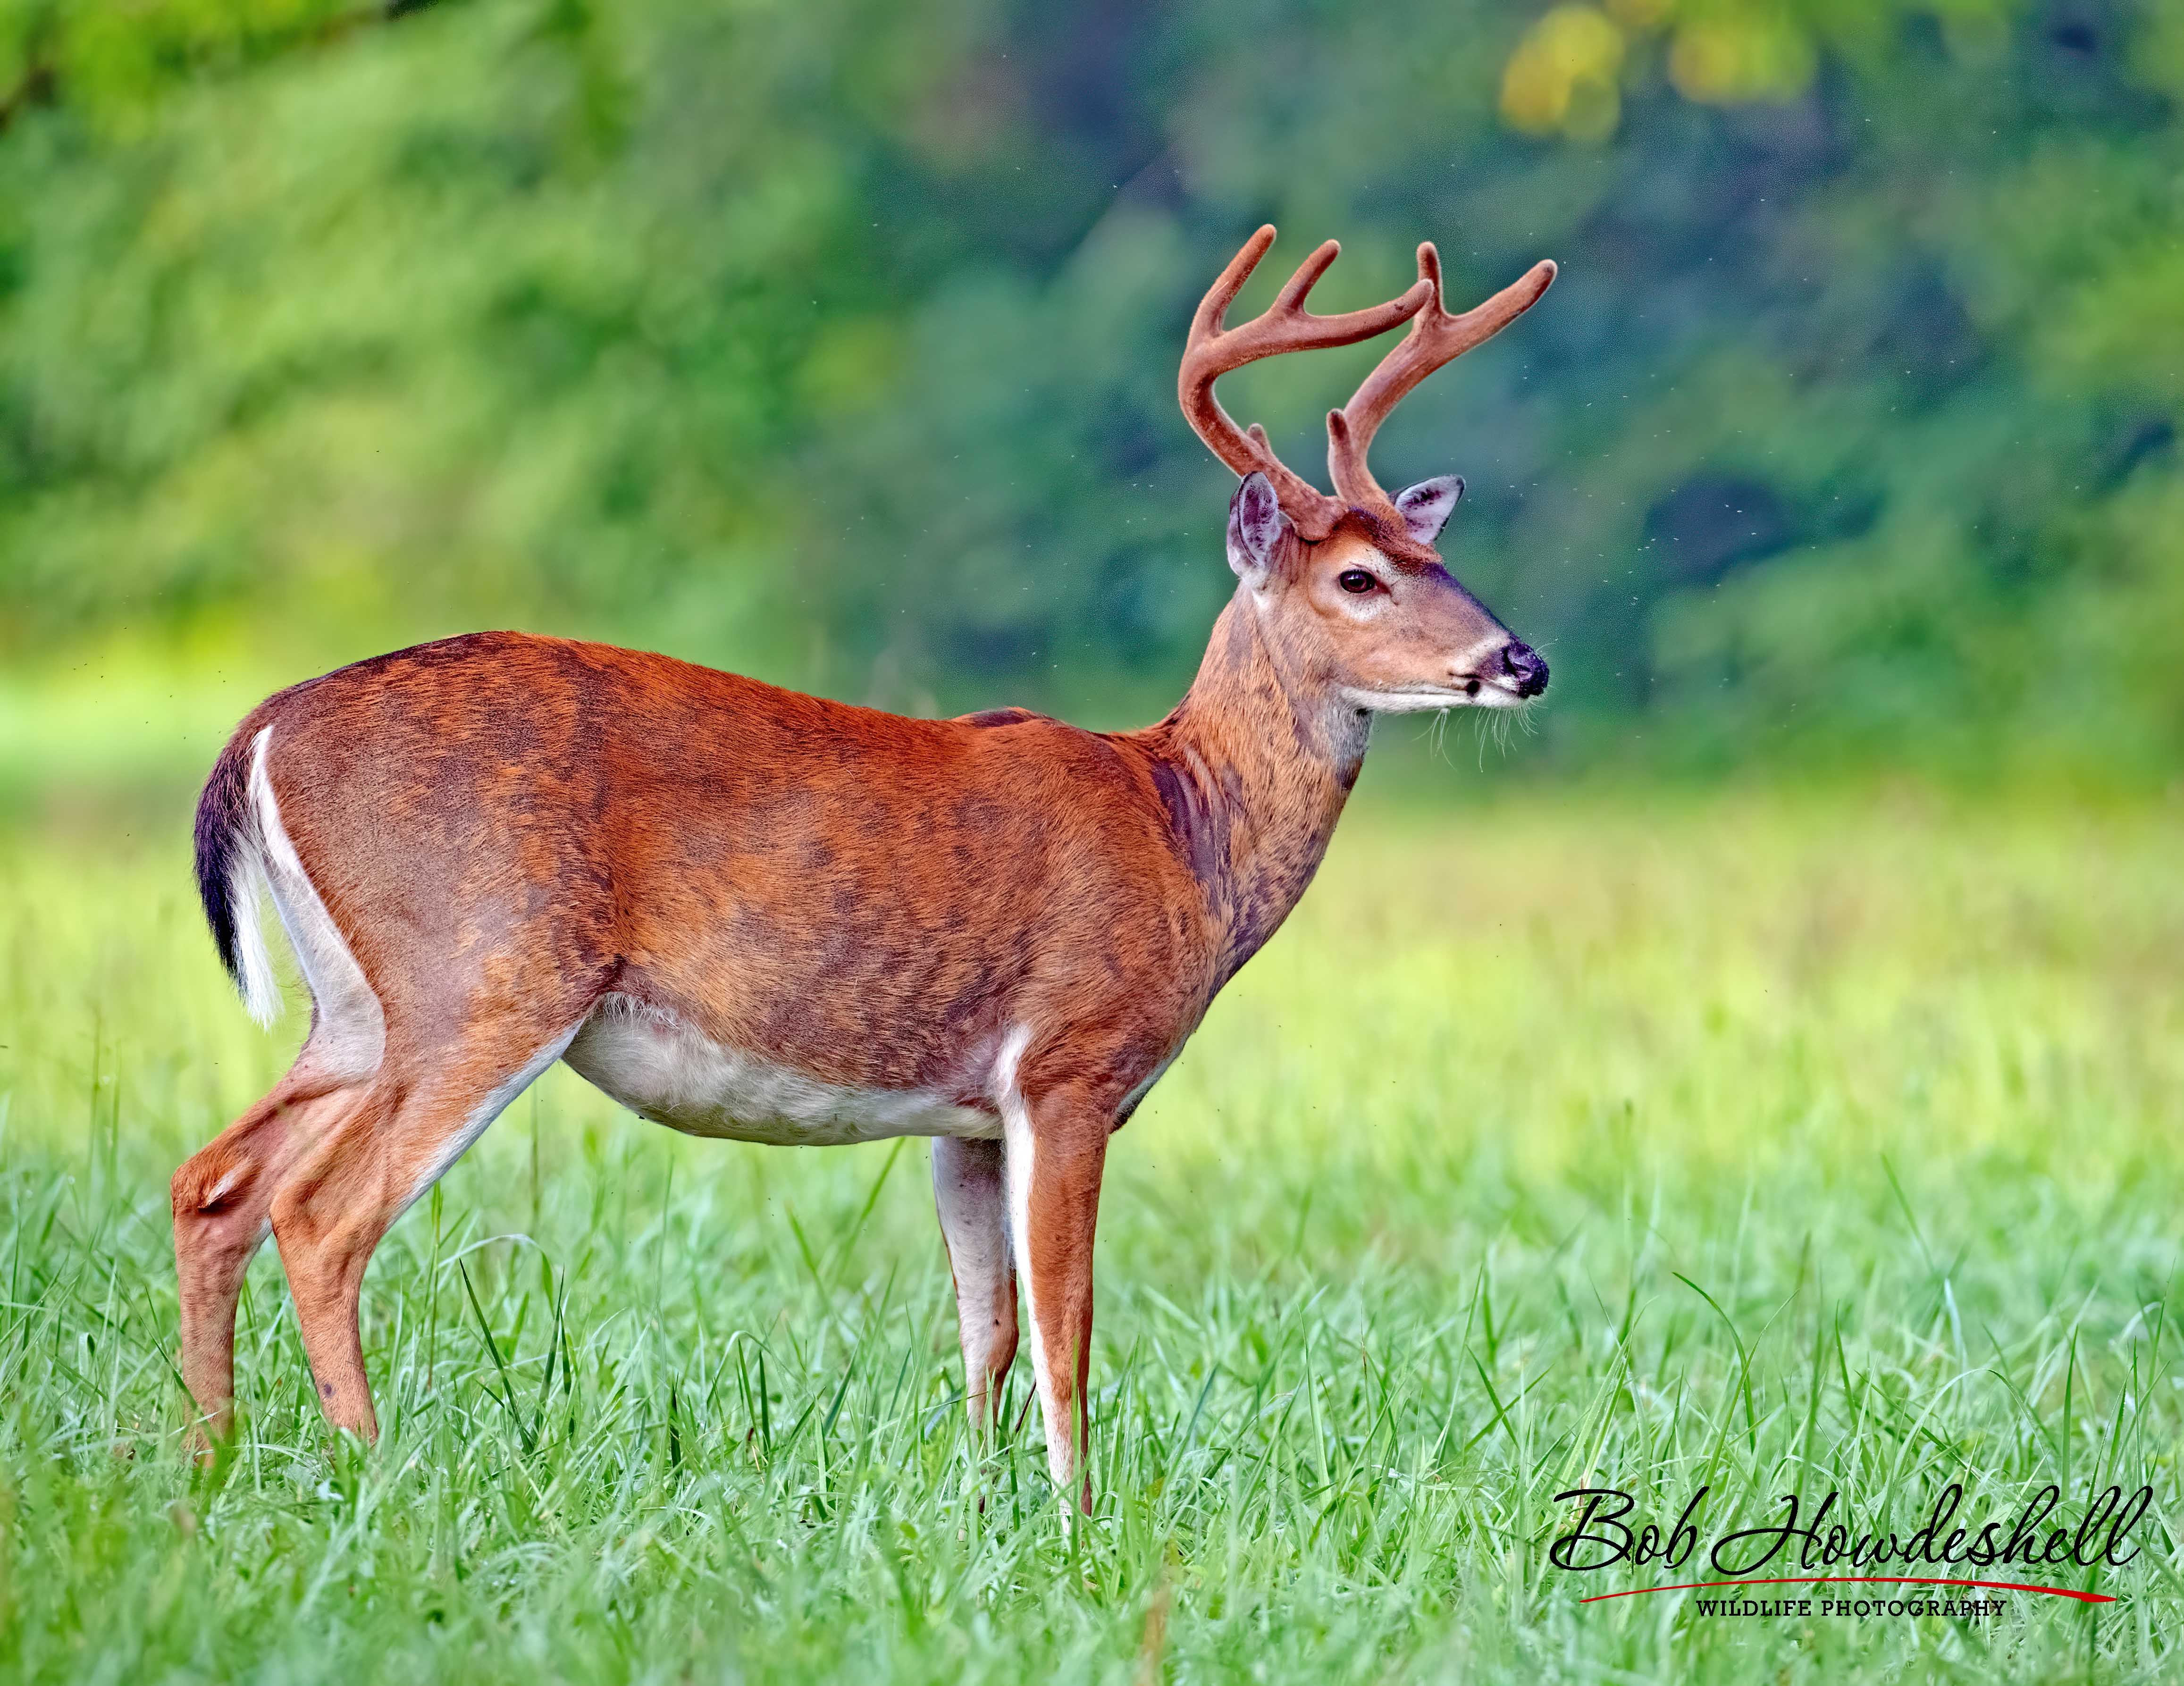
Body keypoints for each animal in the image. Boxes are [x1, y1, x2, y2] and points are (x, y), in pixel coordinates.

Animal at [173, 226, 1554, 1512]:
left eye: (1440, 559)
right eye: (1358, 576)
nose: (1520, 659)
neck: (1182, 823)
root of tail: (262, 730)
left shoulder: (968, 1112)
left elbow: (986, 1326)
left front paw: (980, 1504)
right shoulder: (1068, 1063)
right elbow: (1066, 1328)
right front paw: (1081, 1522)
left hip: (360, 1008)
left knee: (214, 1181)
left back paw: (211, 1458)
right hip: (487, 975)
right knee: (321, 1215)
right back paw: (367, 1465)